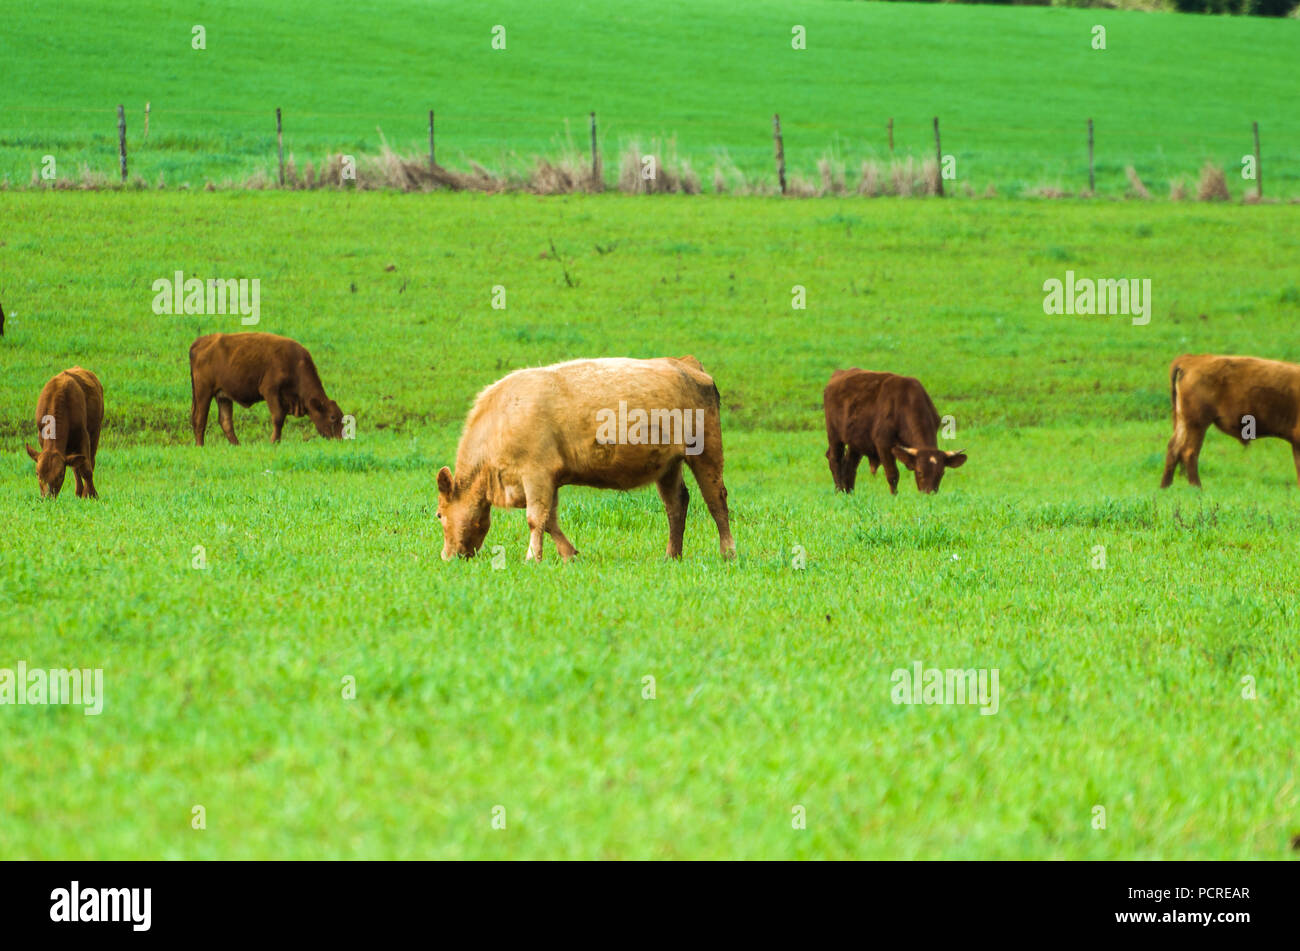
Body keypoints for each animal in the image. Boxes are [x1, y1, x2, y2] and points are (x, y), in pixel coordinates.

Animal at [25, 366, 104, 499]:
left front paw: (91, 495)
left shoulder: (83, 435)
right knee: (75, 466)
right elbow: (77, 466)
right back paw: (78, 492)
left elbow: (86, 469)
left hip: (95, 431)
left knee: (89, 461)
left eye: (61, 474)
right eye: (37, 473)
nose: (48, 497)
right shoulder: (41, 436)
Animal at [189, 332, 345, 445]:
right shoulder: (270, 391)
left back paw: (237, 445)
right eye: (332, 417)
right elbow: (278, 418)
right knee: (200, 418)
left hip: (223, 396)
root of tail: (201, 341)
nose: (340, 439)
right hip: (204, 392)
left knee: (225, 421)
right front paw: (274, 442)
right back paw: (200, 446)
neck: (295, 364)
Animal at [436, 356, 736, 562]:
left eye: (439, 514)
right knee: (676, 505)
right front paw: (569, 554)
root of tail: (684, 363)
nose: (446, 557)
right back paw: (672, 555)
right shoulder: (549, 480)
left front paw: (532, 558)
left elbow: (535, 518)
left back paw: (728, 552)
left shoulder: (536, 474)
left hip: (706, 452)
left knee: (716, 500)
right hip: (668, 465)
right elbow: (550, 520)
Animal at [823, 369, 967, 495]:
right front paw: (894, 495)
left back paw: (849, 493)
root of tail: (838, 374)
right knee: (835, 459)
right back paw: (838, 491)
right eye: (919, 471)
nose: (929, 493)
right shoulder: (883, 444)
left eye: (941, 473)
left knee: (849, 465)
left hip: (855, 442)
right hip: (834, 435)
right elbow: (892, 474)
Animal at [1160, 353, 1300, 488]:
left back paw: (1165, 486)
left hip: (1185, 423)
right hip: (1197, 424)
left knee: (1174, 448)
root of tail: (1192, 359)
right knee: (1189, 452)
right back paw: (1197, 487)